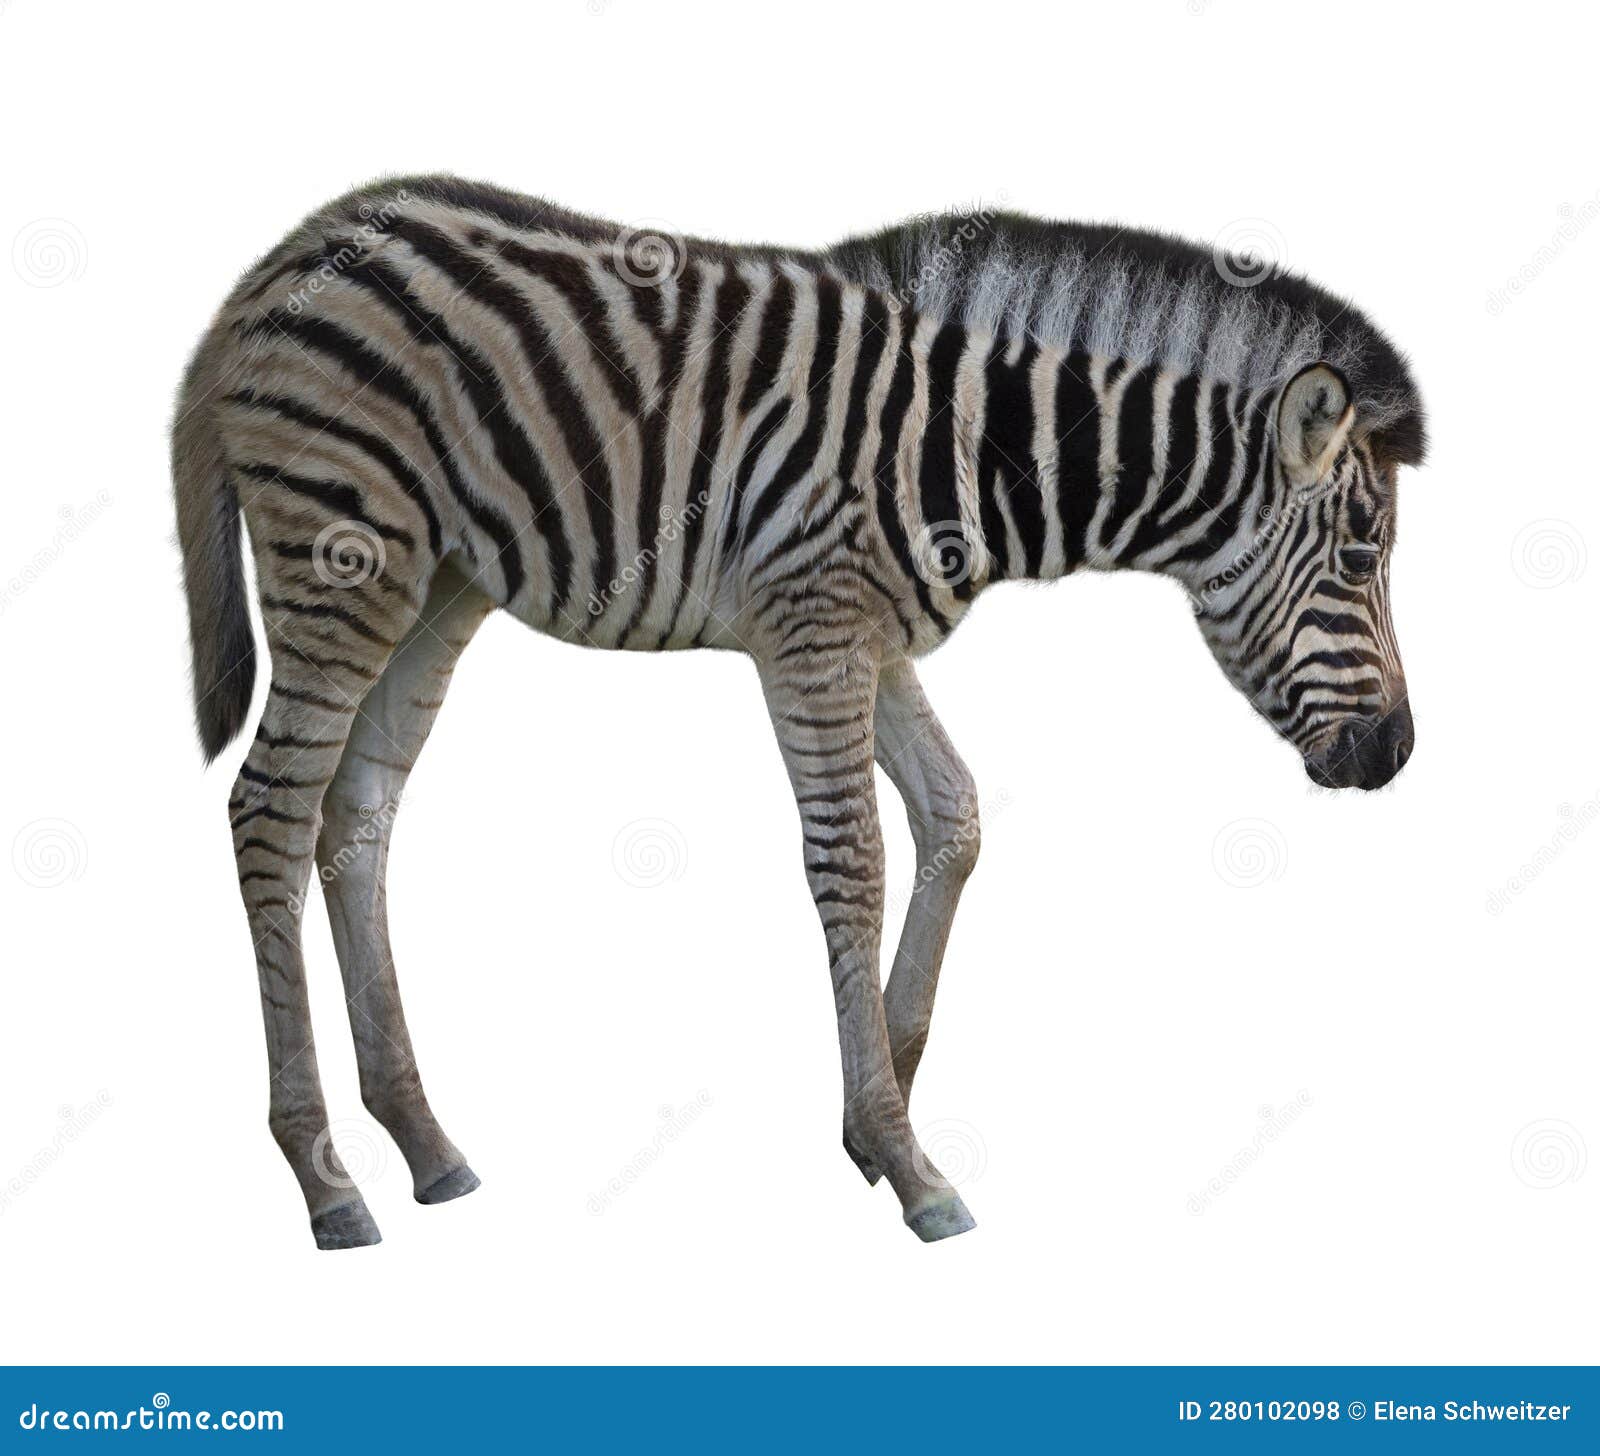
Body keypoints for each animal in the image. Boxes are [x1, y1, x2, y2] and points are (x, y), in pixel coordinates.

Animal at [173, 176, 1426, 1249]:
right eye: (1361, 554)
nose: (1396, 752)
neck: (973, 447)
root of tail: (287, 254)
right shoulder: (810, 629)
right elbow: (853, 859)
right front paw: (905, 1159)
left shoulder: (872, 639)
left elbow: (954, 817)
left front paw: (879, 1115)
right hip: (346, 557)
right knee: (269, 813)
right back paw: (326, 1178)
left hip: (438, 583)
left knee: (356, 818)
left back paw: (424, 1143)